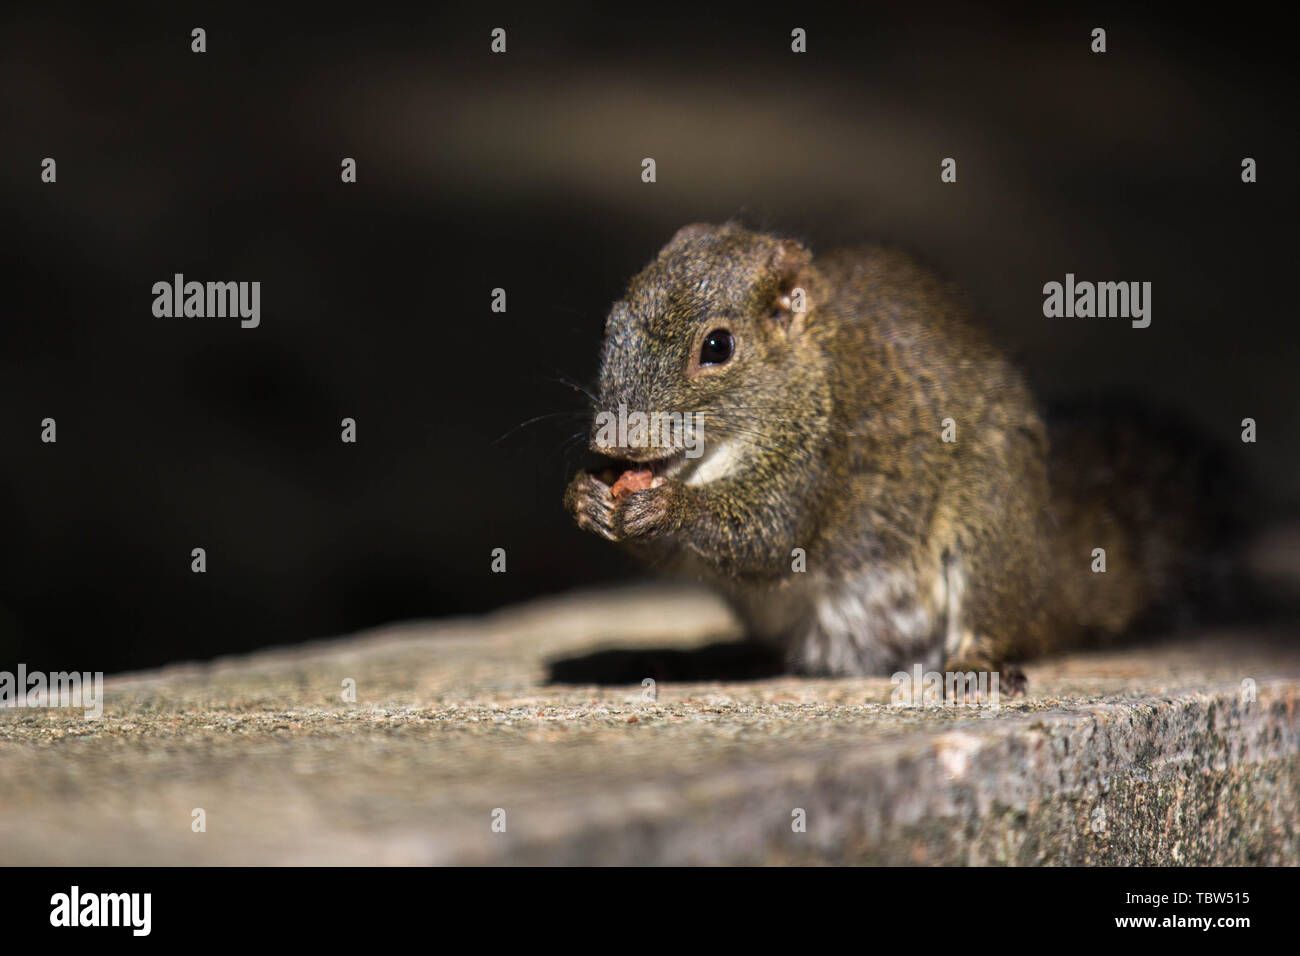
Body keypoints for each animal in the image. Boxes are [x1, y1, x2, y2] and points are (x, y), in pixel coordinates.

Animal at [565, 222, 1239, 682]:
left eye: (717, 346)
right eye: (609, 327)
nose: (613, 440)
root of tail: (1049, 576)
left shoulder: (823, 460)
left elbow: (767, 535)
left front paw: (668, 508)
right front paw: (584, 497)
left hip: (988, 512)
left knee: (995, 615)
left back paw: (974, 663)